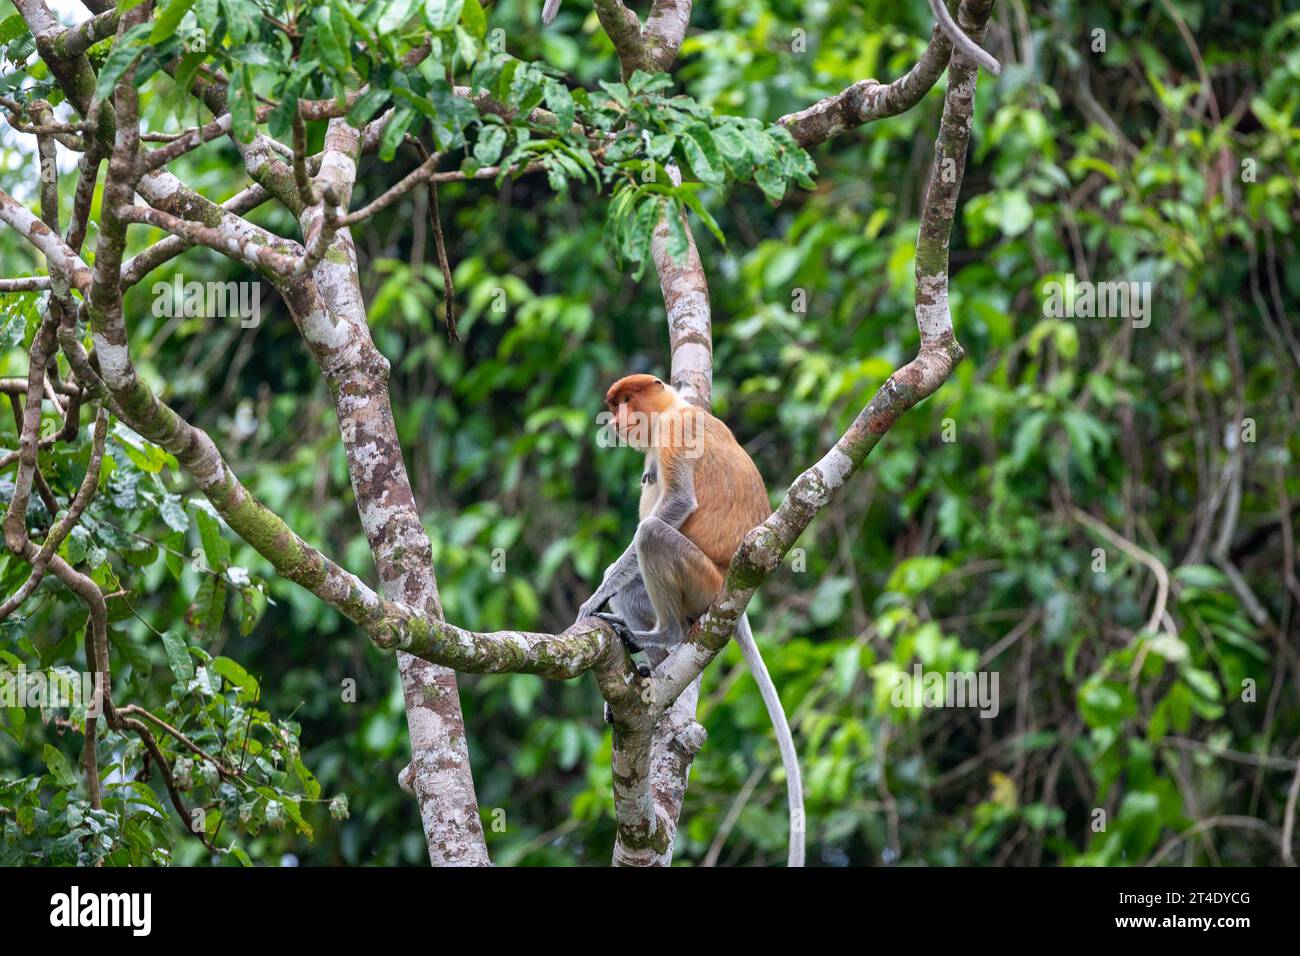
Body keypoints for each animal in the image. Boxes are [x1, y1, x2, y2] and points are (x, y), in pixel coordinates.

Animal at [576, 374, 806, 867]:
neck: (668, 410)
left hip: (702, 579)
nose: (617, 420)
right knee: (635, 586)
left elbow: (676, 503)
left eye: (627, 400)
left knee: (650, 535)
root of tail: (737, 587)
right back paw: (651, 668)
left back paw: (662, 635)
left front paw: (593, 598)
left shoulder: (676, 434)